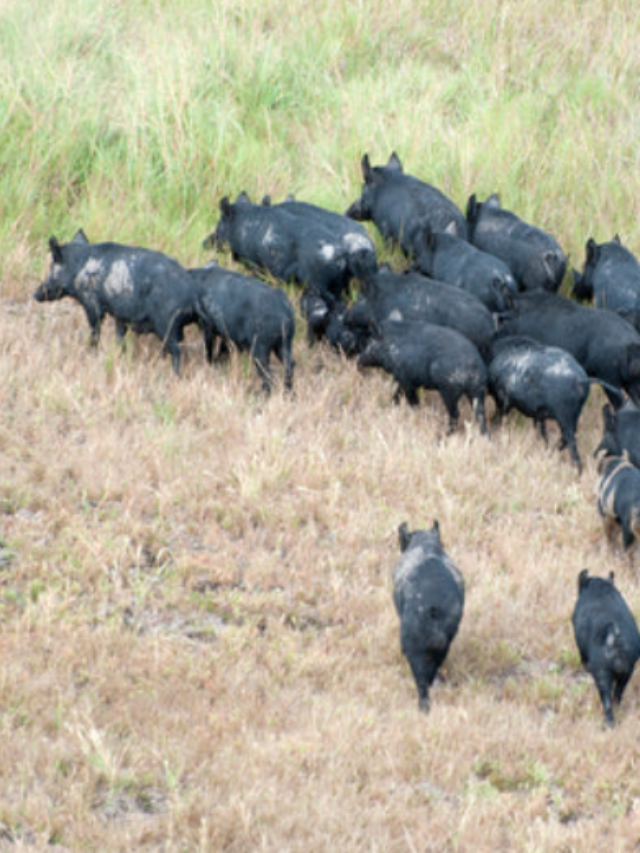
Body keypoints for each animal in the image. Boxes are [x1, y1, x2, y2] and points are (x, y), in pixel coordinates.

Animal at [33, 236, 197, 374]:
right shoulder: (120, 316)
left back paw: (174, 376)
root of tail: (193, 293)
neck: (79, 268)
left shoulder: (92, 304)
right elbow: (119, 338)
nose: (34, 294)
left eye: (52, 267)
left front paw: (90, 352)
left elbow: (95, 330)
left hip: (166, 325)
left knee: (176, 350)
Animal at [188, 263, 295, 392]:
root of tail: (284, 314)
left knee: (267, 371)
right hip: (284, 344)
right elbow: (223, 348)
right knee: (289, 365)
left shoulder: (208, 325)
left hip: (260, 349)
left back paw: (261, 392)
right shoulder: (227, 333)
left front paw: (211, 363)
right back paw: (289, 392)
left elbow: (209, 348)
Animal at [357, 318, 488, 434]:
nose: (358, 361)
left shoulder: (407, 381)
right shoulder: (404, 381)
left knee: (455, 414)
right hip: (477, 392)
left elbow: (413, 403)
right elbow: (396, 396)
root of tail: (475, 366)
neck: (393, 347)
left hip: (449, 391)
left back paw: (444, 435)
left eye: (370, 342)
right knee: (480, 414)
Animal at [488, 336, 620, 472]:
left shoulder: (503, 403)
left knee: (571, 441)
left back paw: (575, 468)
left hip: (564, 417)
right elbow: (542, 431)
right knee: (566, 438)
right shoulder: (539, 415)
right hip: (573, 415)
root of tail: (580, 380)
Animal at [572, 569, 640, 727]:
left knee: (607, 699)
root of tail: (615, 636)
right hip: (628, 670)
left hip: (602, 671)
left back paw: (609, 724)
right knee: (618, 693)